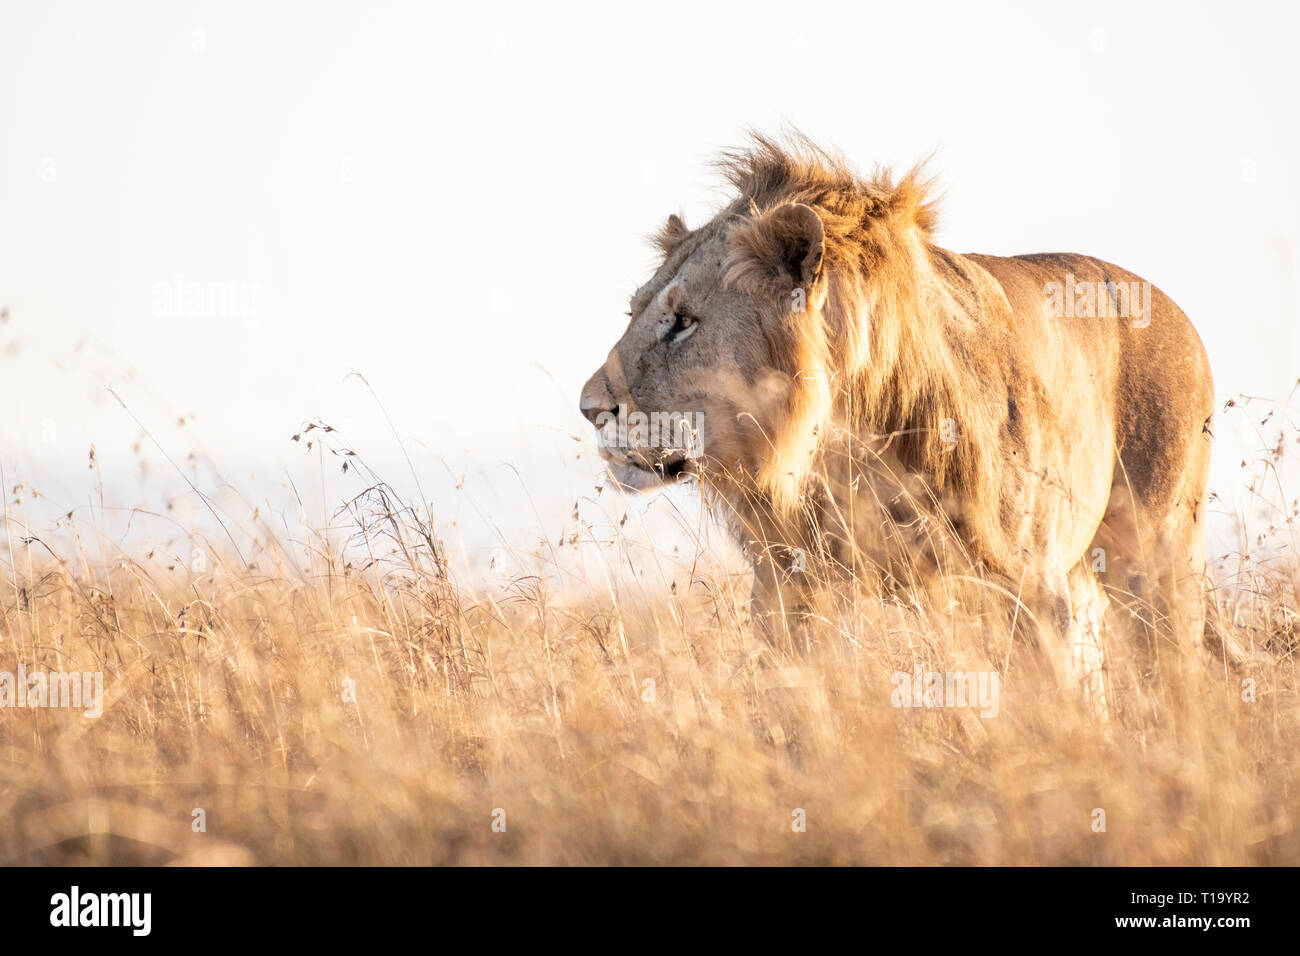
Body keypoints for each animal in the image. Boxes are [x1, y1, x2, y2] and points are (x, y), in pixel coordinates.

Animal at [580, 133, 1215, 709]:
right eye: (635, 311)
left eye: (683, 321)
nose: (589, 410)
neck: (839, 439)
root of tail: (1177, 313)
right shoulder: (789, 586)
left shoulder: (1029, 584)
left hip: (1155, 555)